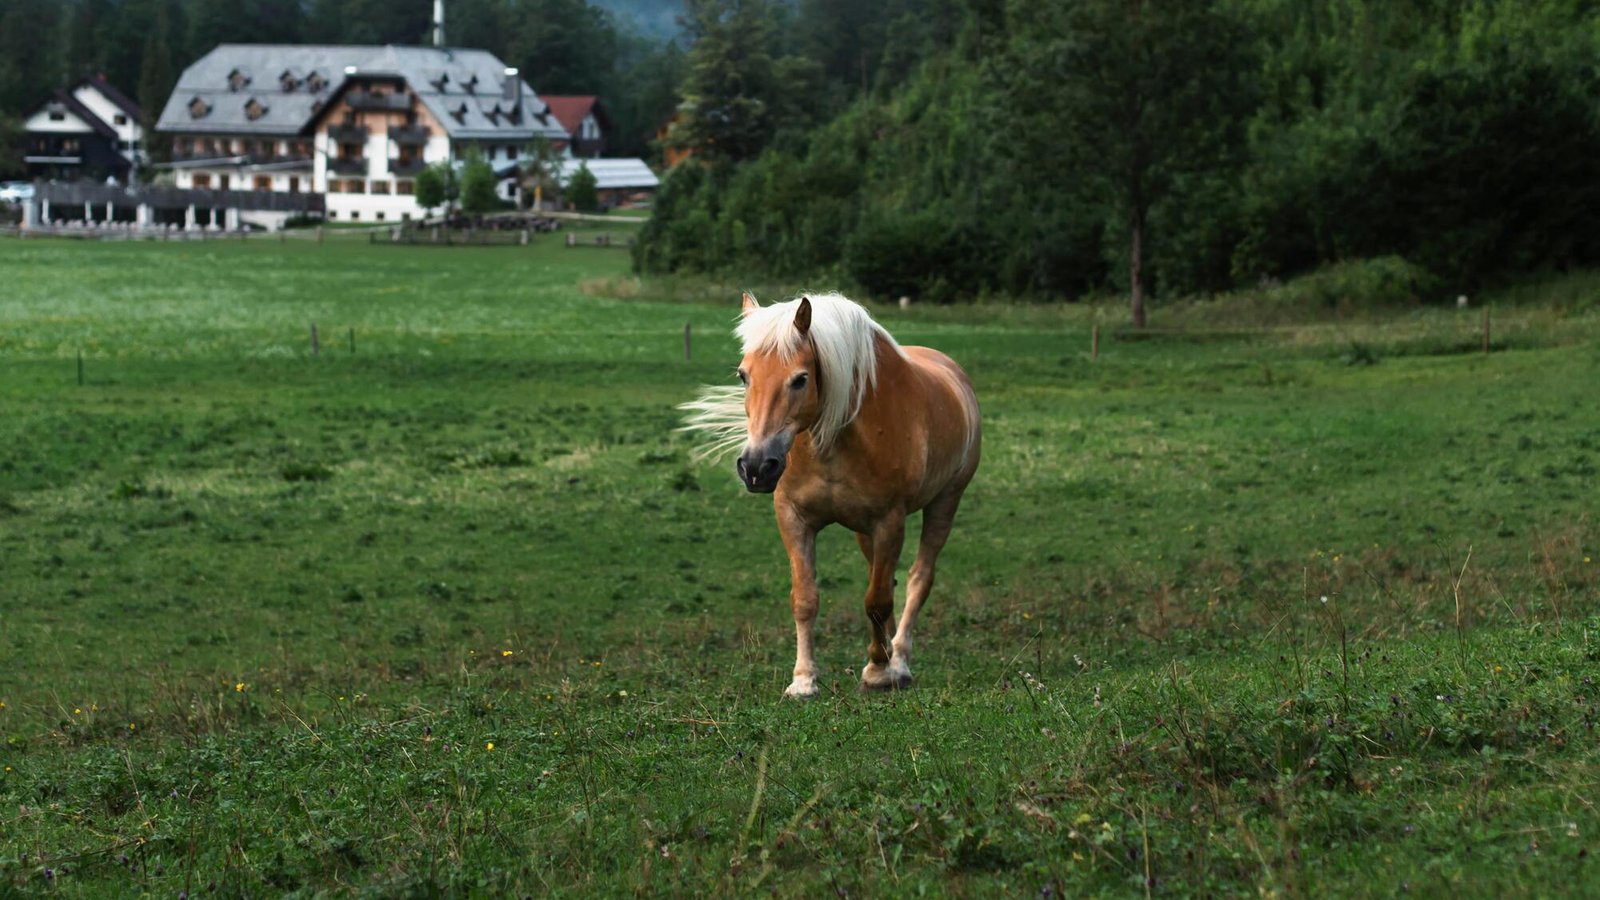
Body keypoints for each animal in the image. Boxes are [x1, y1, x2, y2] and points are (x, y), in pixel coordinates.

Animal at [680, 292, 981, 697]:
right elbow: (806, 599)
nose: (757, 467)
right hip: (865, 531)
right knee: (886, 577)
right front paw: (803, 680)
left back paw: (898, 661)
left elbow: (877, 600)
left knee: (918, 578)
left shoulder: (890, 522)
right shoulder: (794, 518)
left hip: (944, 502)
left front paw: (877, 671)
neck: (837, 442)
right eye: (743, 375)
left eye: (800, 379)